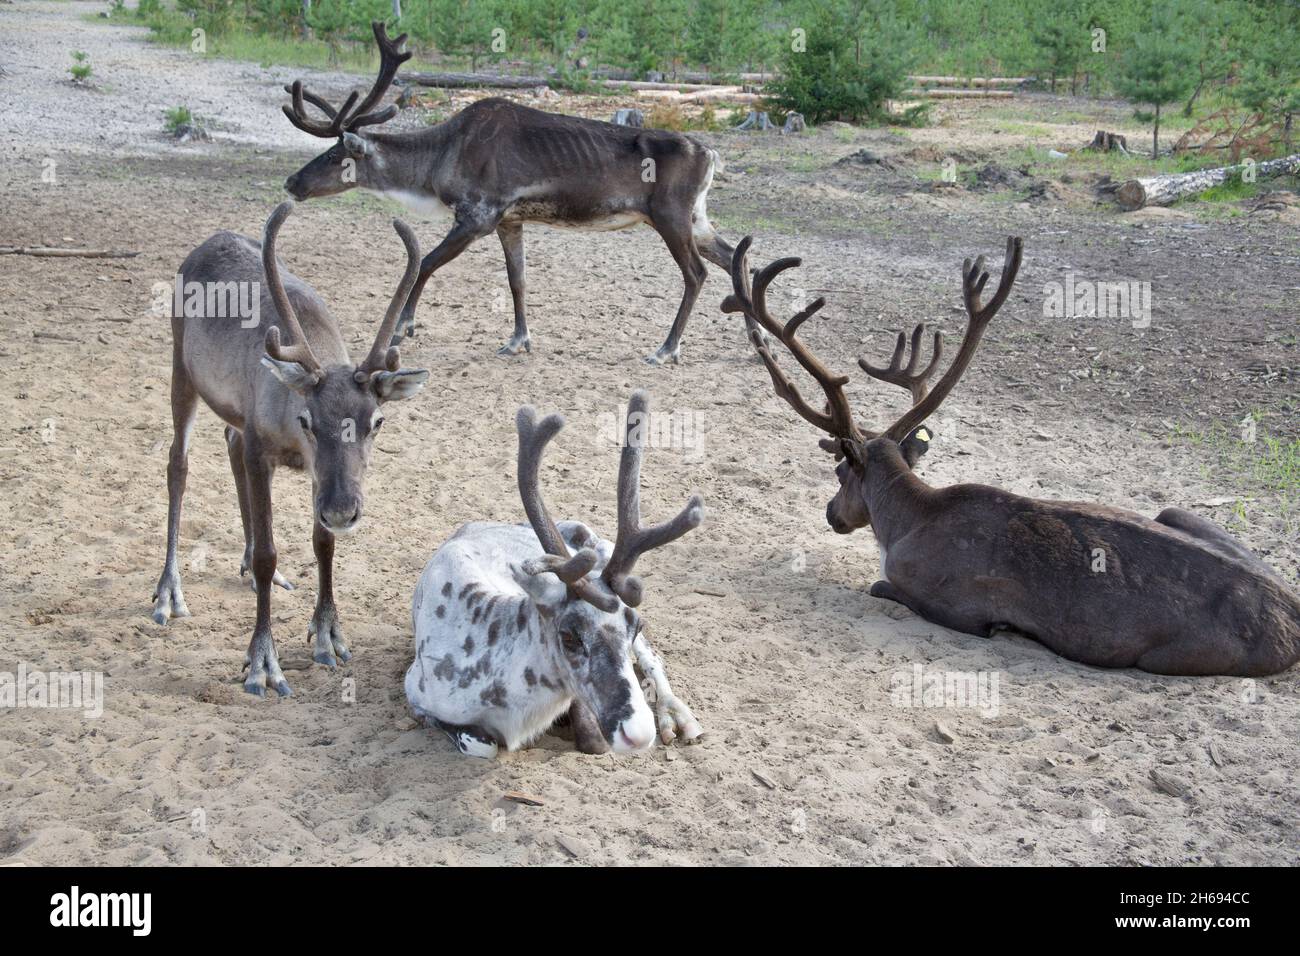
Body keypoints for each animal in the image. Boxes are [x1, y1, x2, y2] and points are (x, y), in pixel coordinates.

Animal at [150, 201, 430, 697]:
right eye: (307, 420)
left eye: (377, 422)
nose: (343, 510)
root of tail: (204, 244)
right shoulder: (262, 450)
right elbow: (269, 553)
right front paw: (262, 662)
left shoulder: (315, 474)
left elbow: (323, 545)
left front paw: (327, 634)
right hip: (181, 367)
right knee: (178, 464)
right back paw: (169, 591)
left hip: (233, 412)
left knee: (229, 441)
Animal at [281, 21, 734, 365]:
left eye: (335, 154)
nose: (291, 183)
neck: (439, 160)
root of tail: (710, 154)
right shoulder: (510, 220)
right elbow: (518, 279)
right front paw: (518, 340)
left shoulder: (478, 216)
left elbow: (425, 262)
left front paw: (402, 328)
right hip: (697, 219)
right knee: (734, 259)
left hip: (670, 216)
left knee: (697, 273)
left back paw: (666, 349)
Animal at [405, 391, 705, 758]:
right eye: (569, 636)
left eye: (636, 625)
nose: (639, 733)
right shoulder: (416, 692)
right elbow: (481, 744)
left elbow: (593, 739)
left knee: (654, 660)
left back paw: (678, 717)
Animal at [725, 235, 1300, 678]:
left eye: (840, 470)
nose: (831, 514)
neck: (902, 524)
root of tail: (1293, 619)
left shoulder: (952, 603)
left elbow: (880, 585)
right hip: (1177, 511)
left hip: (1167, 656)